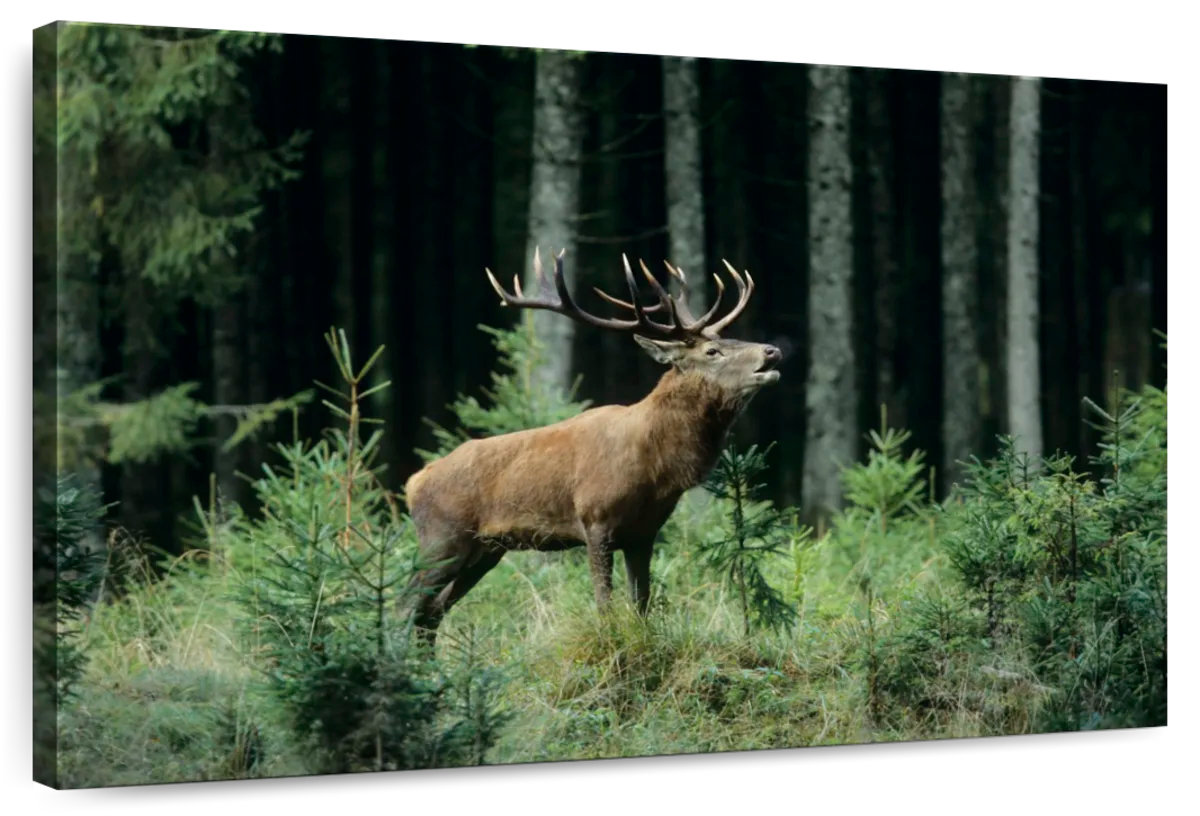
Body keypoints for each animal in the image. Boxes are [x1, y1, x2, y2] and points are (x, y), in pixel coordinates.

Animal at [404, 248, 782, 641]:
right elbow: (605, 604)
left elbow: (641, 605)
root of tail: (413, 482)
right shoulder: (595, 519)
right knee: (408, 604)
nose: (772, 351)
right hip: (442, 538)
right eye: (713, 351)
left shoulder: (644, 532)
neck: (656, 469)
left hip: (485, 550)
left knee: (432, 612)